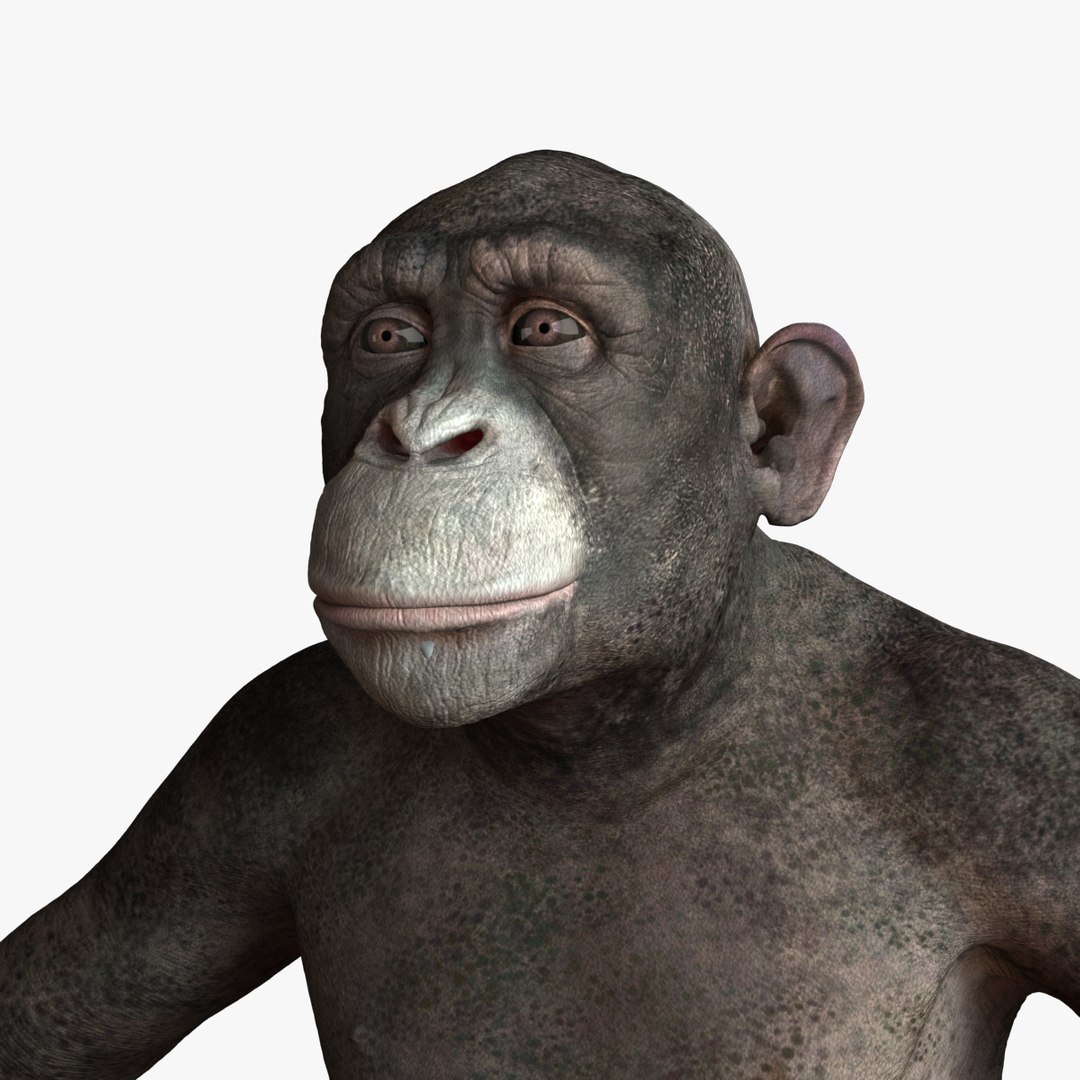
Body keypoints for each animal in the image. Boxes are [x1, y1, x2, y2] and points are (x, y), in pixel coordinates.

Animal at [1, 150, 1077, 1079]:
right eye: (388, 338)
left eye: (548, 330)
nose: (418, 434)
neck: (619, 733)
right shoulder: (253, 751)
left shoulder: (1011, 757)